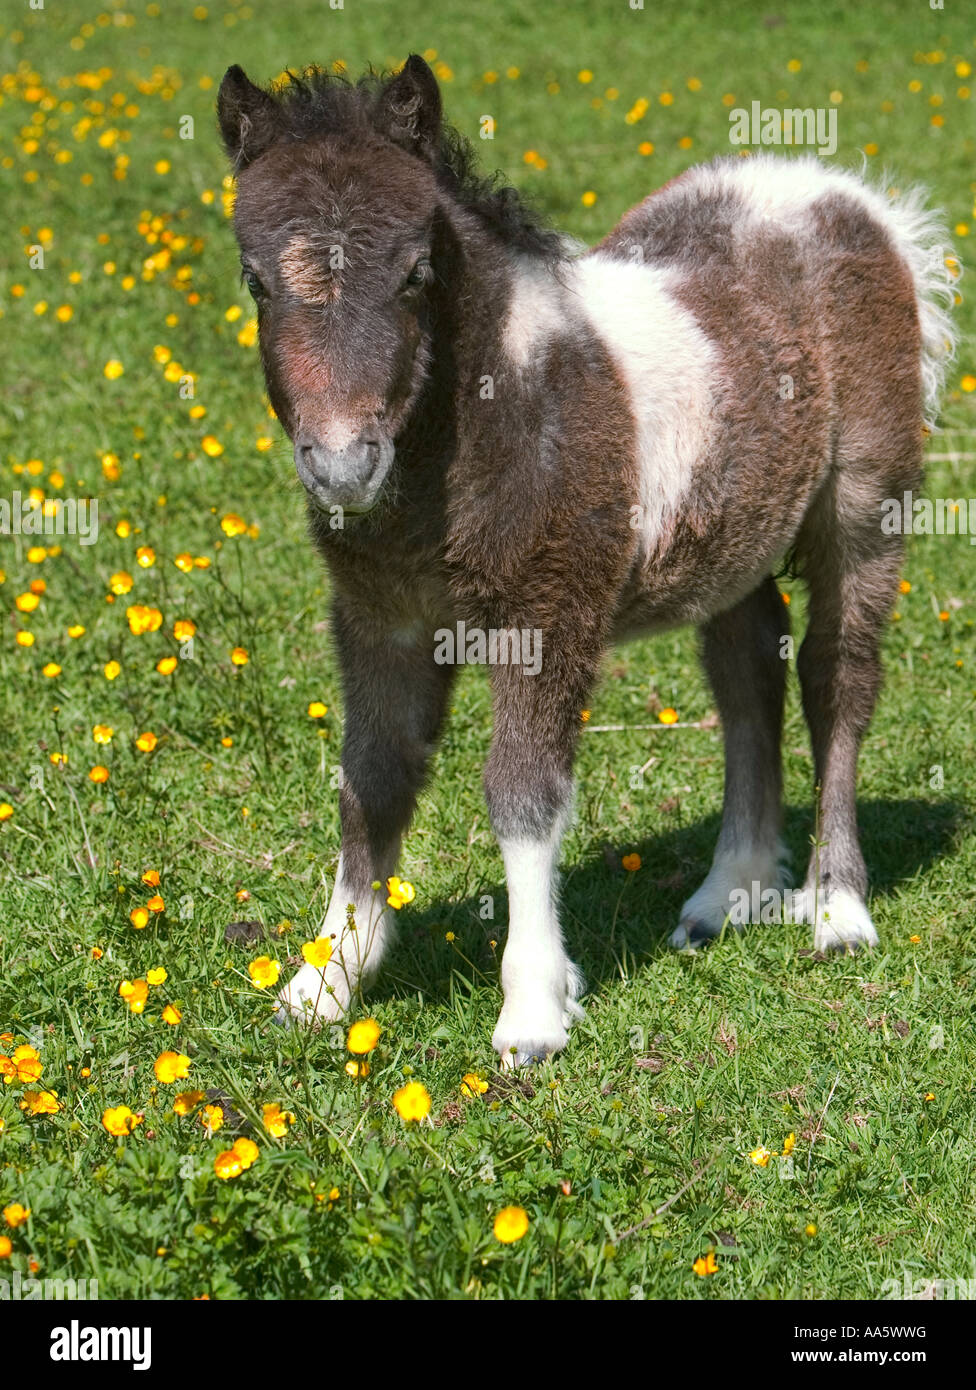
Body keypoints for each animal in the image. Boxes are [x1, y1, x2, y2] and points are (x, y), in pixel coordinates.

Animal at [217, 54, 956, 1066]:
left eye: (416, 274)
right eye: (256, 281)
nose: (341, 466)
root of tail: (857, 203)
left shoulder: (548, 609)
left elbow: (523, 791)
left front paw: (533, 1008)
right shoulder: (381, 619)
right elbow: (371, 778)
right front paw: (327, 980)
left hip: (864, 507)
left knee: (837, 678)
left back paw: (837, 907)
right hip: (733, 532)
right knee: (746, 675)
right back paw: (727, 892)